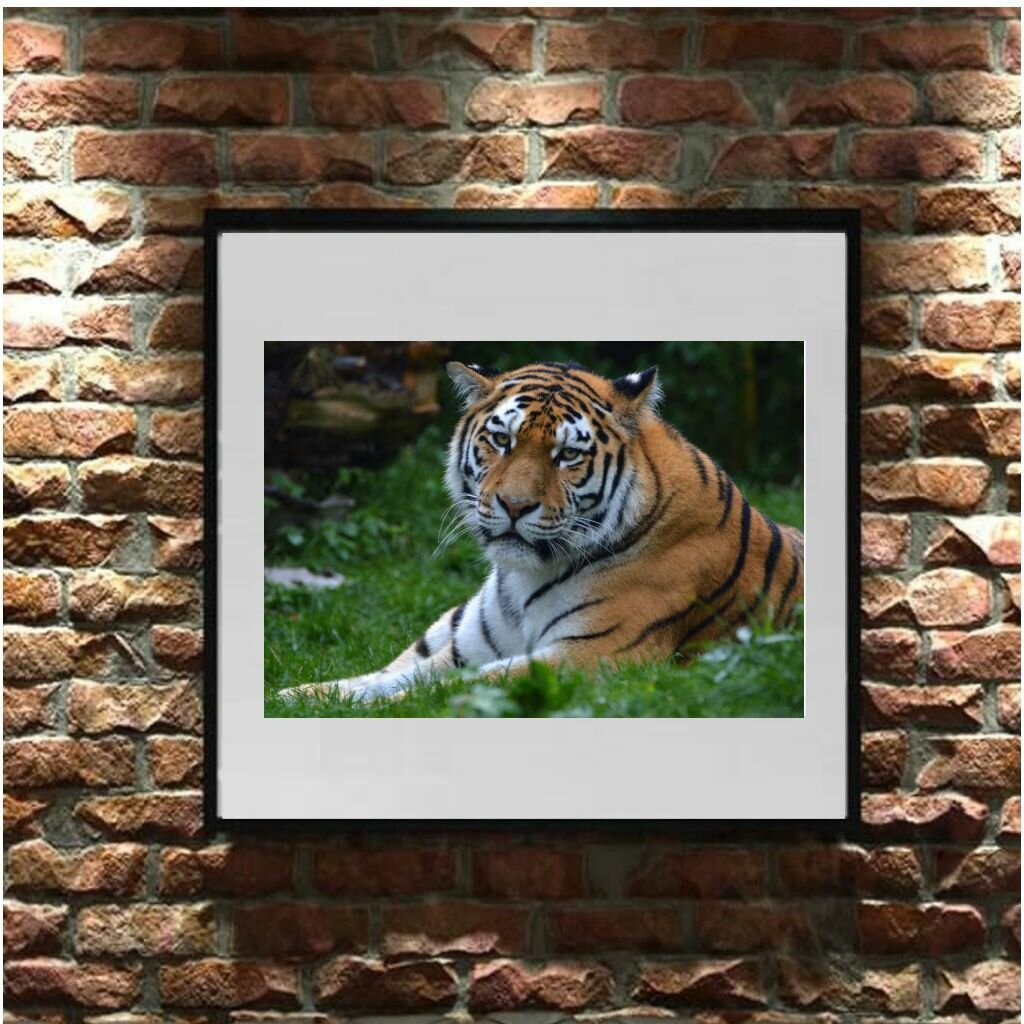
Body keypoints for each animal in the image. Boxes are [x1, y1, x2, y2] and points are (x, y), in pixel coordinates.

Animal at [278, 359, 804, 705]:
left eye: (567, 455)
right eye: (501, 440)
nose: (514, 505)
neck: (524, 577)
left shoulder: (592, 656)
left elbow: (452, 690)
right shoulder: (467, 651)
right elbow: (394, 679)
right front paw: (301, 698)